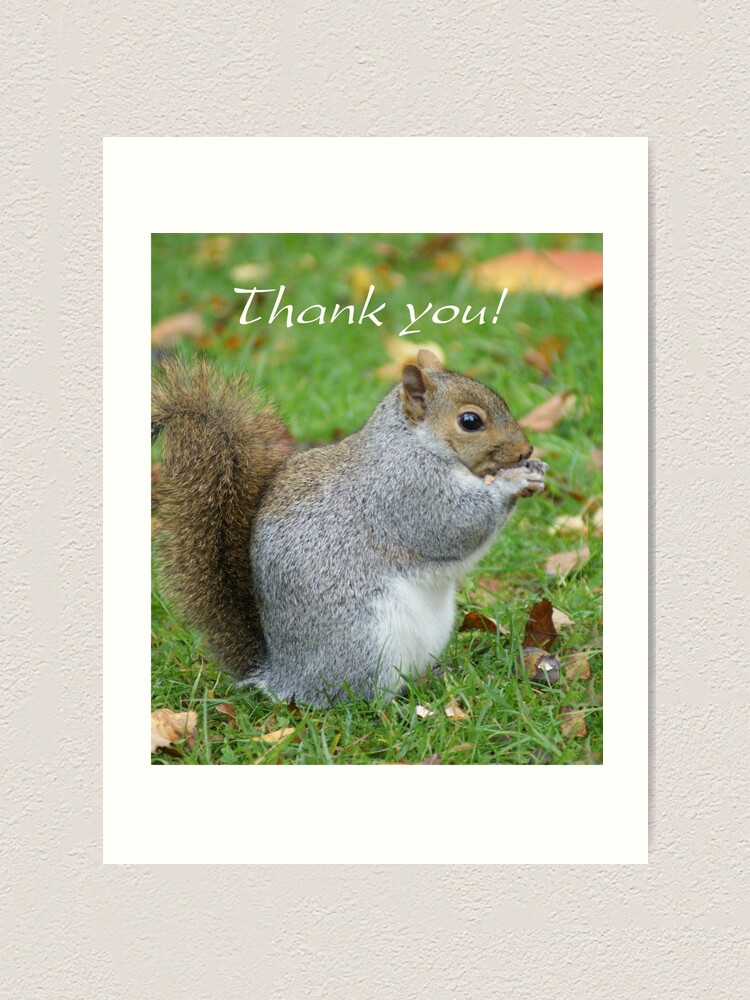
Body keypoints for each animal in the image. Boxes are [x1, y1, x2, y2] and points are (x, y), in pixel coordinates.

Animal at [152, 350, 548, 706]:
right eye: (470, 421)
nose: (526, 449)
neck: (413, 442)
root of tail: (283, 677)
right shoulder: (408, 489)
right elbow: (455, 524)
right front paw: (512, 481)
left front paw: (535, 468)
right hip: (368, 642)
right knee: (360, 697)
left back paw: (436, 676)